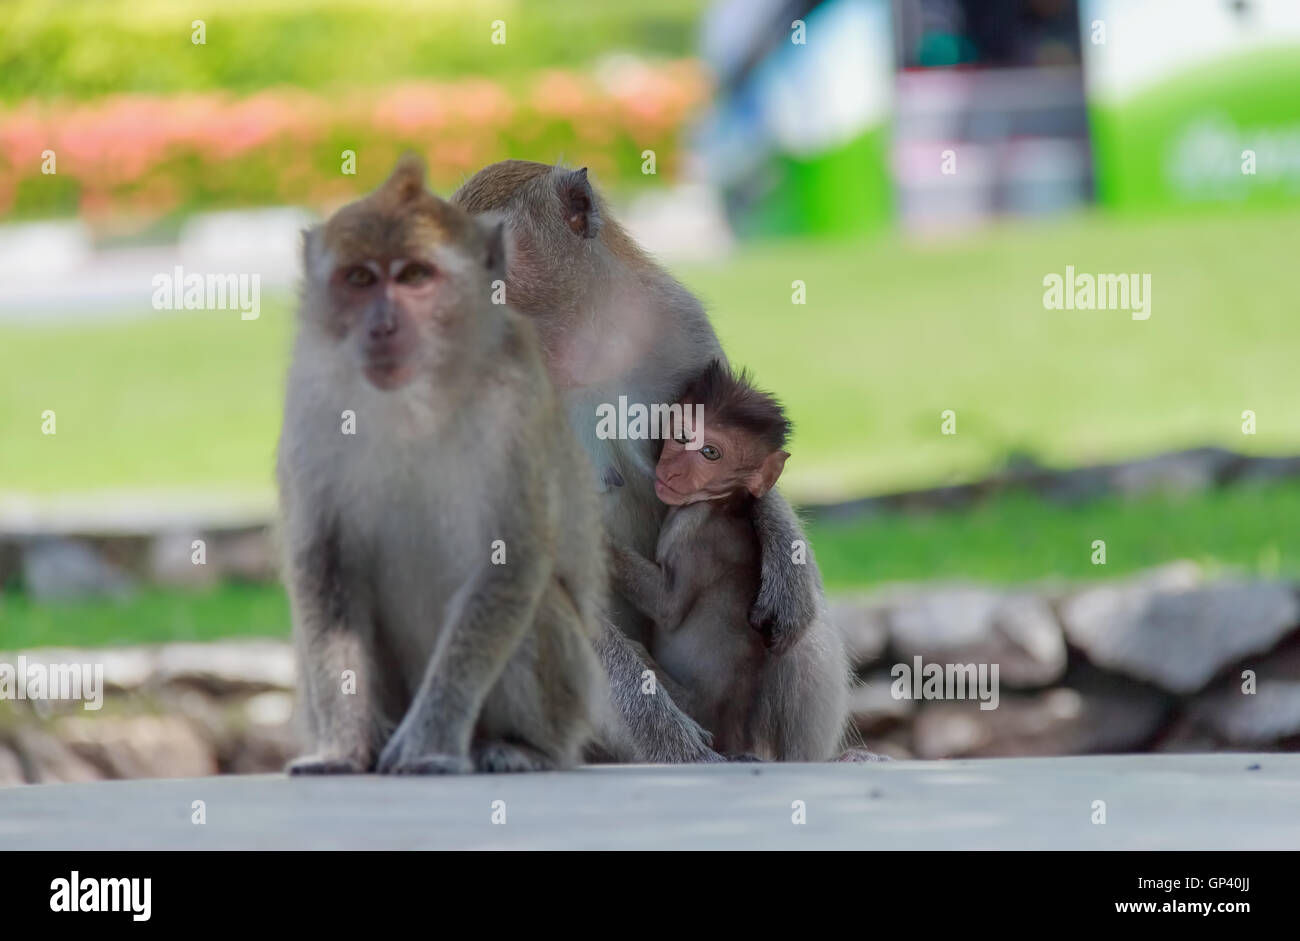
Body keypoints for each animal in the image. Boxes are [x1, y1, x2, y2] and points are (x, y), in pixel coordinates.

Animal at [278, 155, 606, 775]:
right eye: (359, 279)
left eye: (415, 277)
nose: (383, 326)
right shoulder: (313, 401)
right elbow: (324, 568)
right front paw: (342, 746)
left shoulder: (512, 401)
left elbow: (508, 562)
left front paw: (427, 744)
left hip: (573, 700)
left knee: (537, 610)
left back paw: (514, 747)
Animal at [608, 361, 849, 761]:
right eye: (681, 435)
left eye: (710, 453)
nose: (672, 470)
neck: (721, 501)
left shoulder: (690, 530)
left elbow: (668, 606)